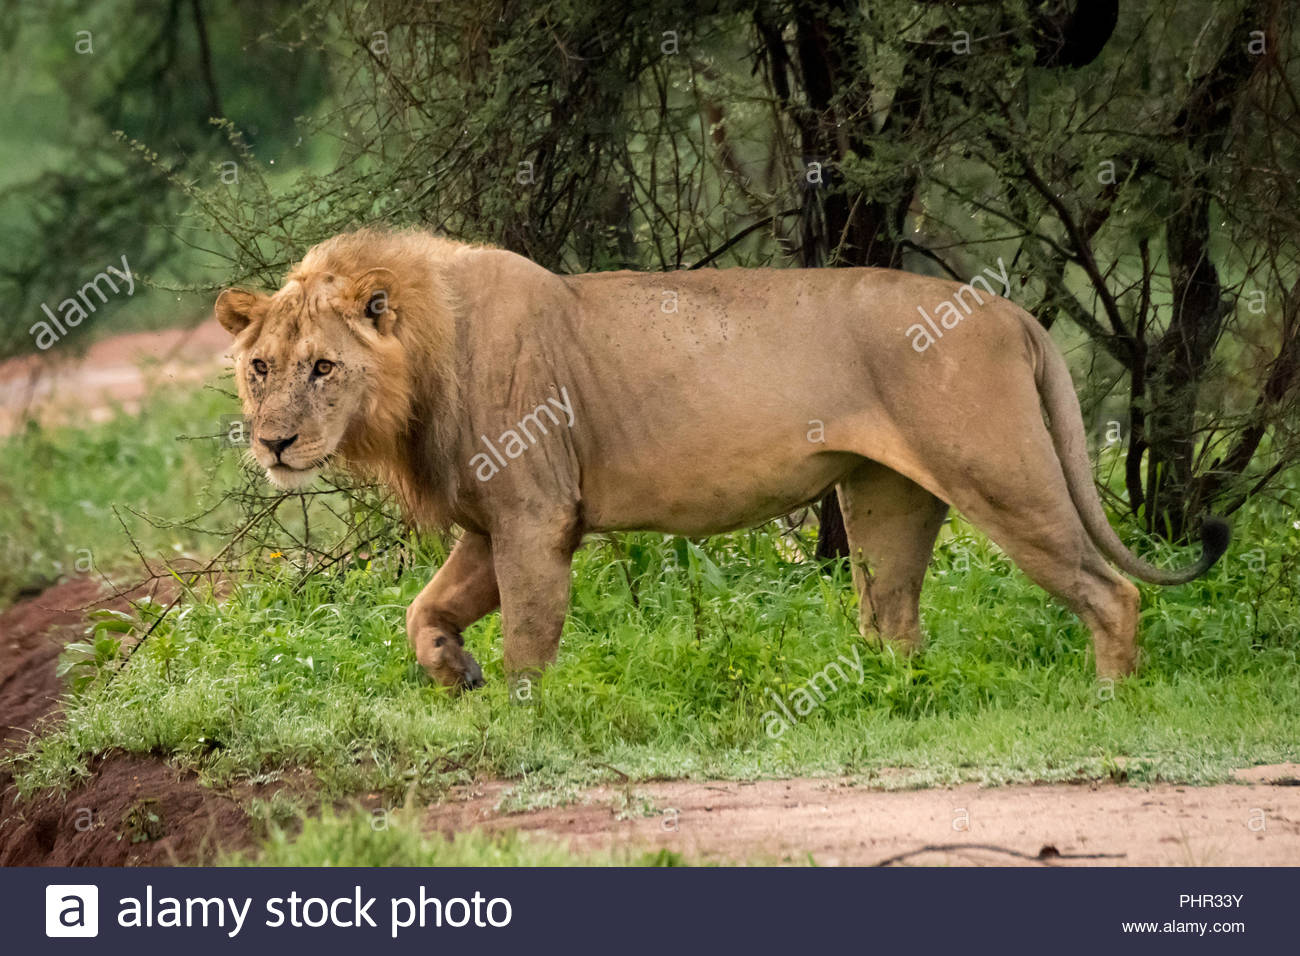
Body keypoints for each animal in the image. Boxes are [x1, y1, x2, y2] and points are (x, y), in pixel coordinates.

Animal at [215, 228, 1229, 691]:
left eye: (323, 367)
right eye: (260, 366)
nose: (273, 441)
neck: (422, 363)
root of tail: (1011, 310)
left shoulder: (536, 516)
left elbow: (530, 639)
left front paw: (517, 712)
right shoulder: (487, 523)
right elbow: (423, 611)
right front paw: (452, 670)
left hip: (1002, 477)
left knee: (1111, 590)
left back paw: (1107, 697)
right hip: (885, 500)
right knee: (896, 622)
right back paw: (889, 699)